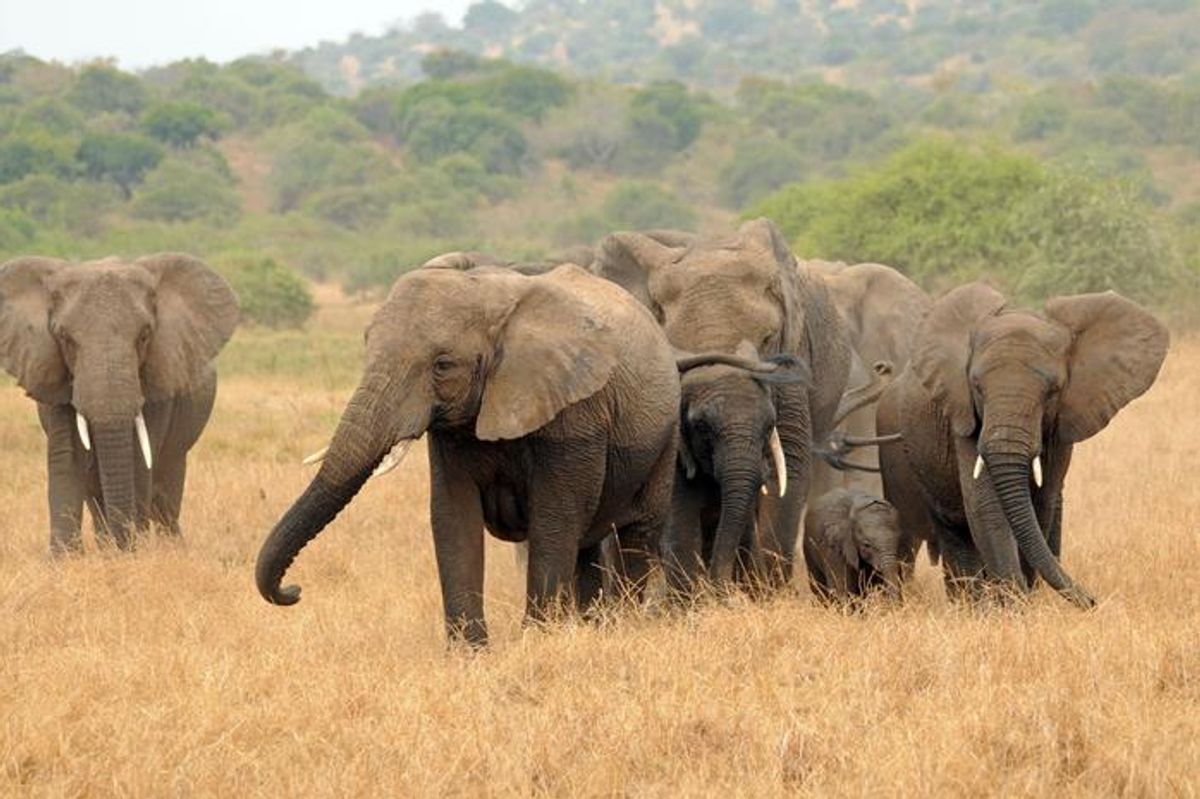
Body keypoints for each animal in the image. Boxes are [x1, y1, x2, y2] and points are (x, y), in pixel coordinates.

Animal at [0, 254, 239, 552]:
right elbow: (68, 457)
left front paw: (130, 553)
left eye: (145, 335)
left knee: (167, 484)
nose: (125, 544)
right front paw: (66, 558)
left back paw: (169, 546)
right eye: (65, 338)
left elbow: (140, 459)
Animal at [255, 261, 788, 646]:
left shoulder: (575, 413)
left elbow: (554, 516)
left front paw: (539, 643)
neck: (493, 301)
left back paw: (626, 627)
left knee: (636, 531)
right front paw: (470, 654)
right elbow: (452, 515)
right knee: (587, 544)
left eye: (443, 365)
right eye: (366, 346)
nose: (293, 591)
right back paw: (591, 626)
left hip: (661, 438)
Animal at [876, 283, 1169, 607]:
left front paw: (1024, 601)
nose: (1094, 601)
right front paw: (1014, 606)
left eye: (1053, 390)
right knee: (952, 526)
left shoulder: (1059, 426)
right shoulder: (962, 416)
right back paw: (971, 605)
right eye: (976, 386)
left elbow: (1040, 502)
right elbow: (985, 504)